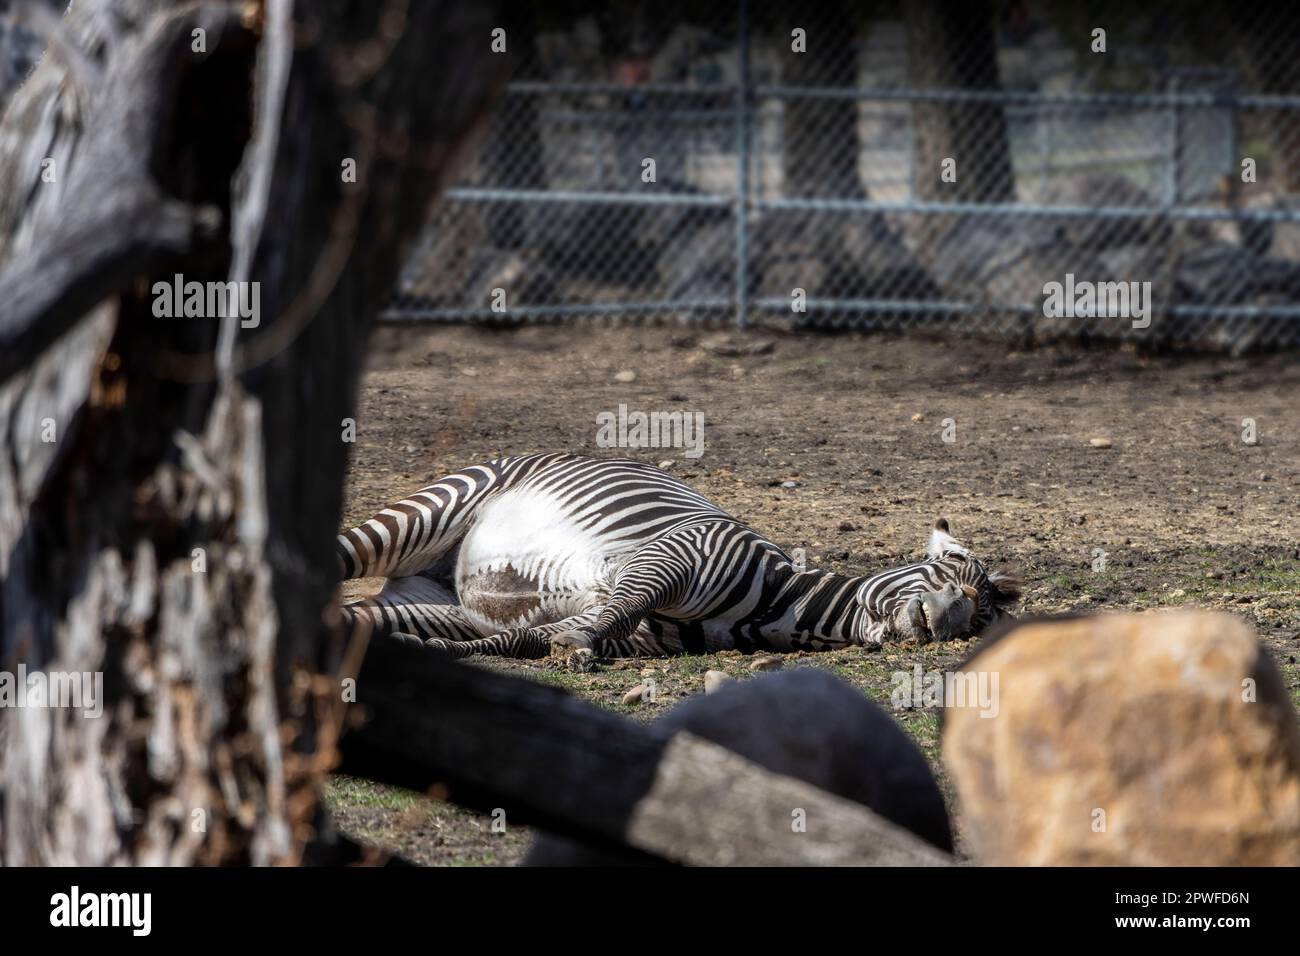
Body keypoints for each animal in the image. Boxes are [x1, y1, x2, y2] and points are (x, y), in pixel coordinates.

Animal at [336, 454, 1020, 666]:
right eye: (946, 574)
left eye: (978, 620)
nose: (948, 619)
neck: (780, 604)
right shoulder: (675, 554)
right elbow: (614, 608)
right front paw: (573, 646)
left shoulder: (642, 640)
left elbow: (519, 641)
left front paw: (443, 654)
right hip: (436, 508)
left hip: (433, 602)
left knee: (357, 617)